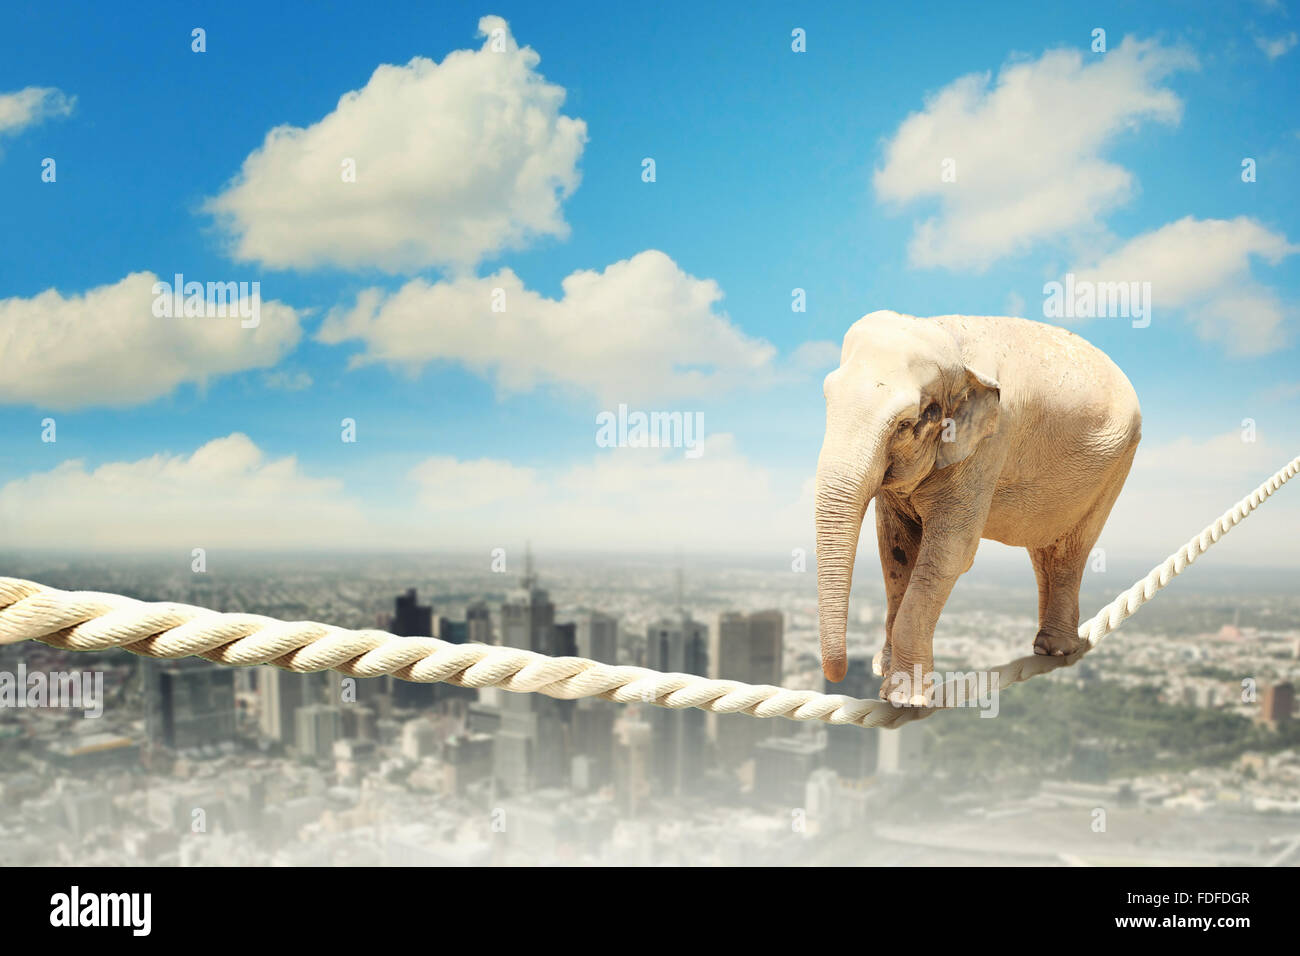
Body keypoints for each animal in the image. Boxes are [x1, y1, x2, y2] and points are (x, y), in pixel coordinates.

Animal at [815, 310, 1141, 707]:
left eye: (904, 424)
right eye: (827, 400)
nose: (841, 673)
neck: (947, 335)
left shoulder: (988, 445)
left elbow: (951, 551)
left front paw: (905, 697)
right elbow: (895, 550)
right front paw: (884, 669)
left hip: (1115, 465)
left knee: (1070, 549)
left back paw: (1057, 649)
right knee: (1044, 550)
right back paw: (1046, 648)